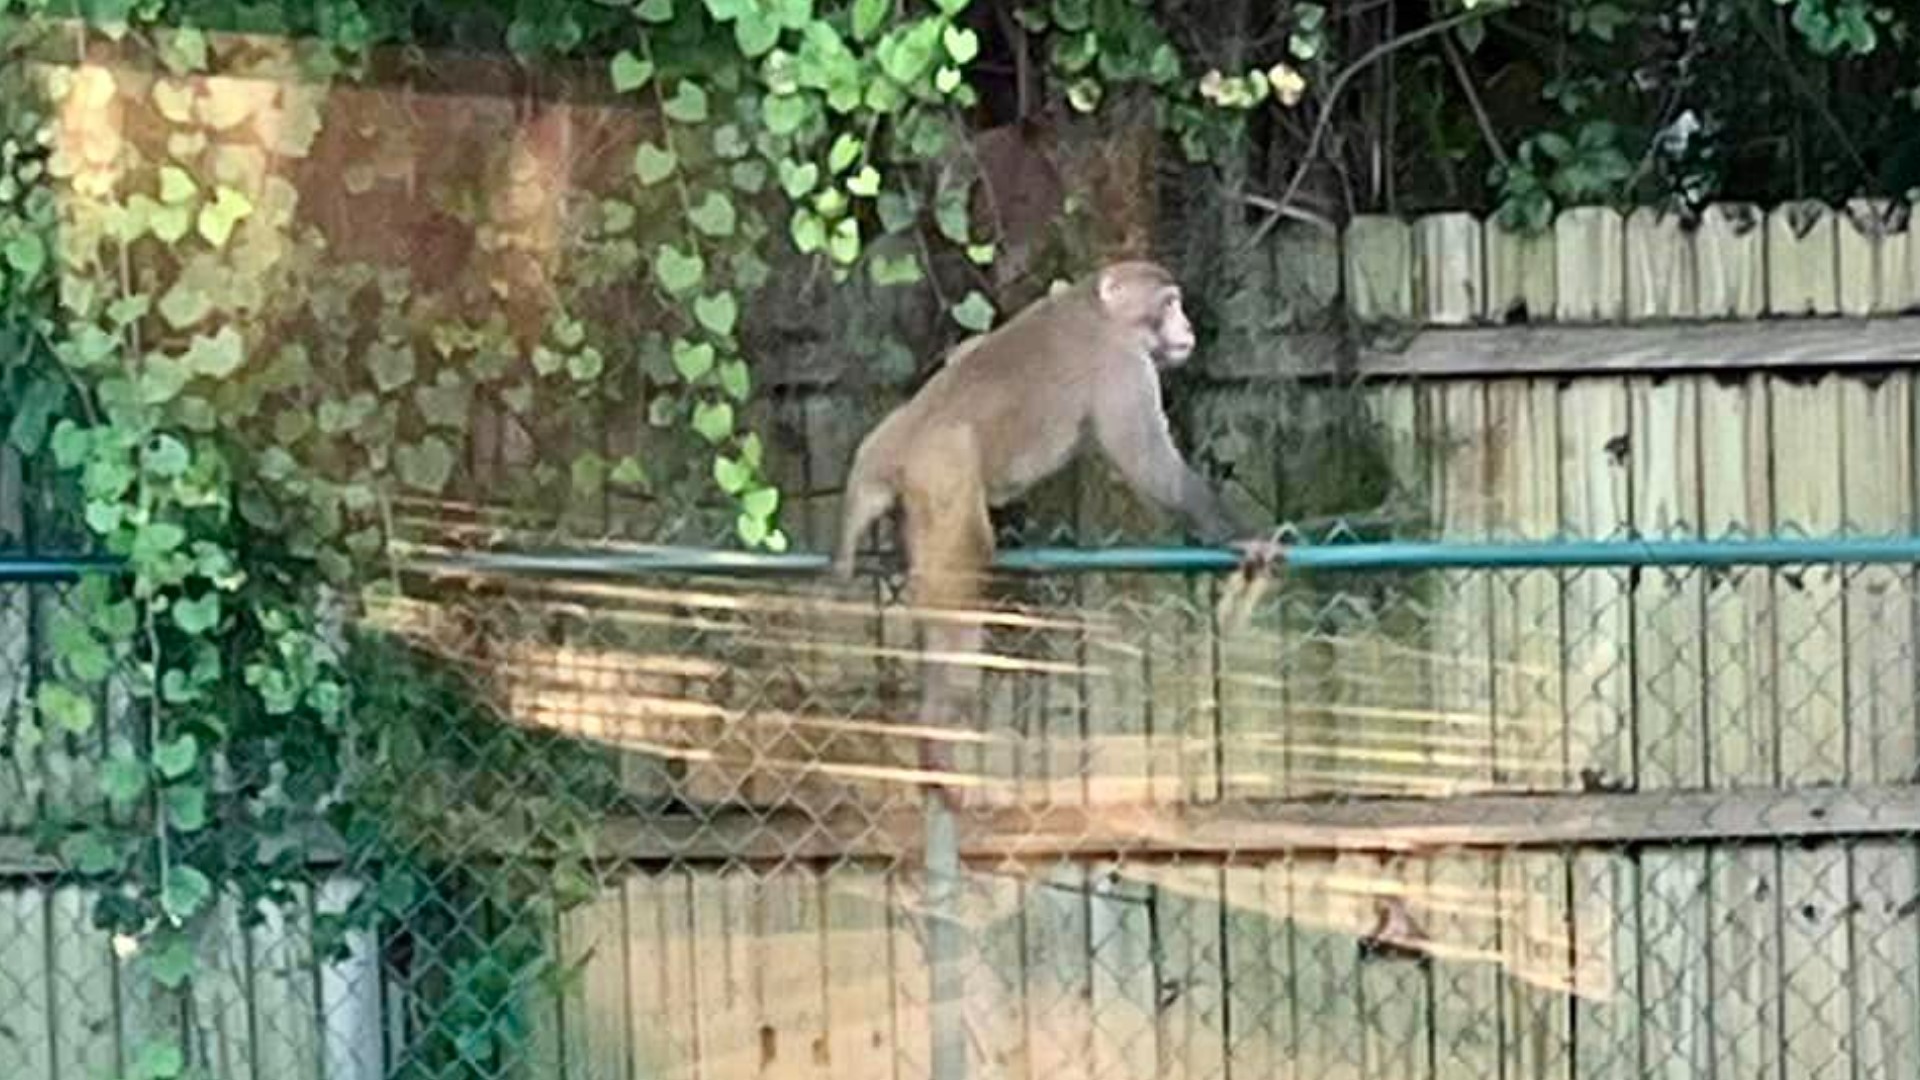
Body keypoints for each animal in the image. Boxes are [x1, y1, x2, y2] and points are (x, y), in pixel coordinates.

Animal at [832, 260, 1279, 804]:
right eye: (1170, 303)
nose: (1188, 327)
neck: (1099, 309)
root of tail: (890, 447)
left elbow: (966, 350)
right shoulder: (1123, 368)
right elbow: (1151, 467)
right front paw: (1235, 534)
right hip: (943, 473)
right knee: (959, 593)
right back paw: (937, 733)